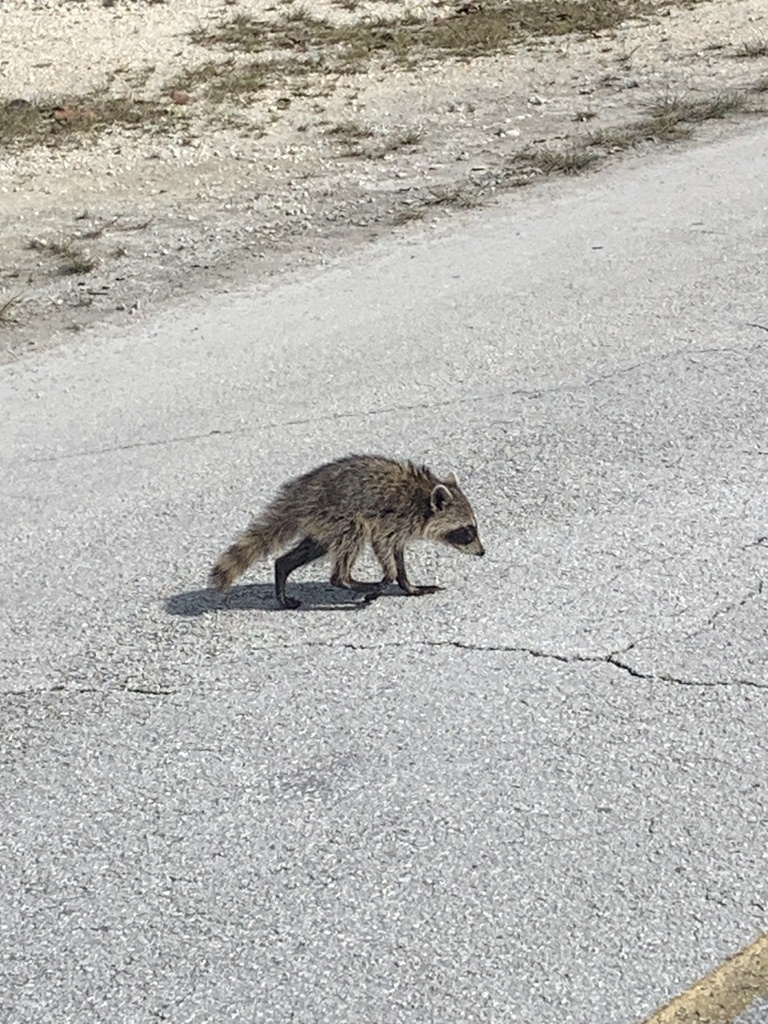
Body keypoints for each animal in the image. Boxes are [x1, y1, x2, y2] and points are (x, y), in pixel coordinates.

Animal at [209, 454, 484, 609]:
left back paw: (283, 569)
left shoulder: (402, 528)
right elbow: (382, 546)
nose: (482, 552)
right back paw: (349, 580)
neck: (423, 498)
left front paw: (408, 585)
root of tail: (299, 496)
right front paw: (390, 576)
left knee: (309, 548)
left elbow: (398, 554)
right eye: (468, 530)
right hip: (341, 515)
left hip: (322, 524)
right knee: (353, 537)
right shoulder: (391, 518)